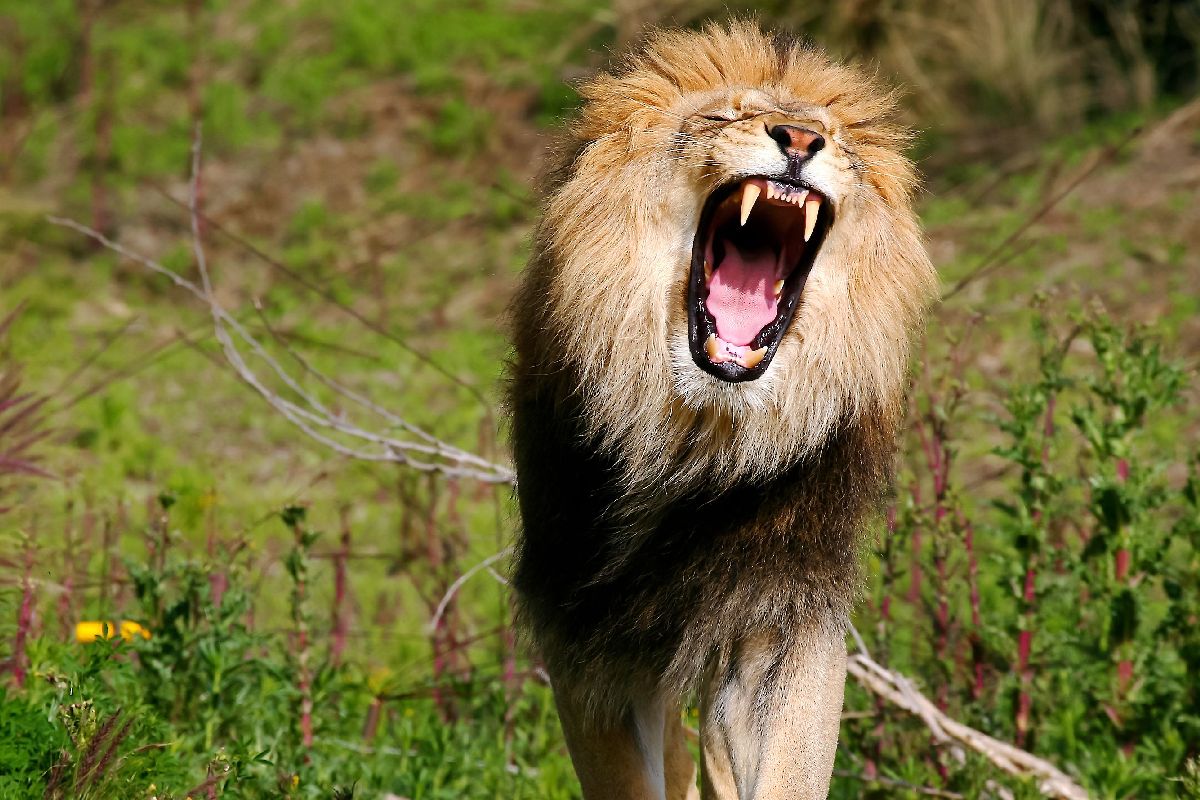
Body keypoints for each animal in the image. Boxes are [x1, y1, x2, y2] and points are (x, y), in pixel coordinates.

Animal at [507, 21, 937, 800]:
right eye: (722, 116)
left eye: (835, 138)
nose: (799, 139)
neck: (697, 435)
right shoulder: (581, 631)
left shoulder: (784, 614)